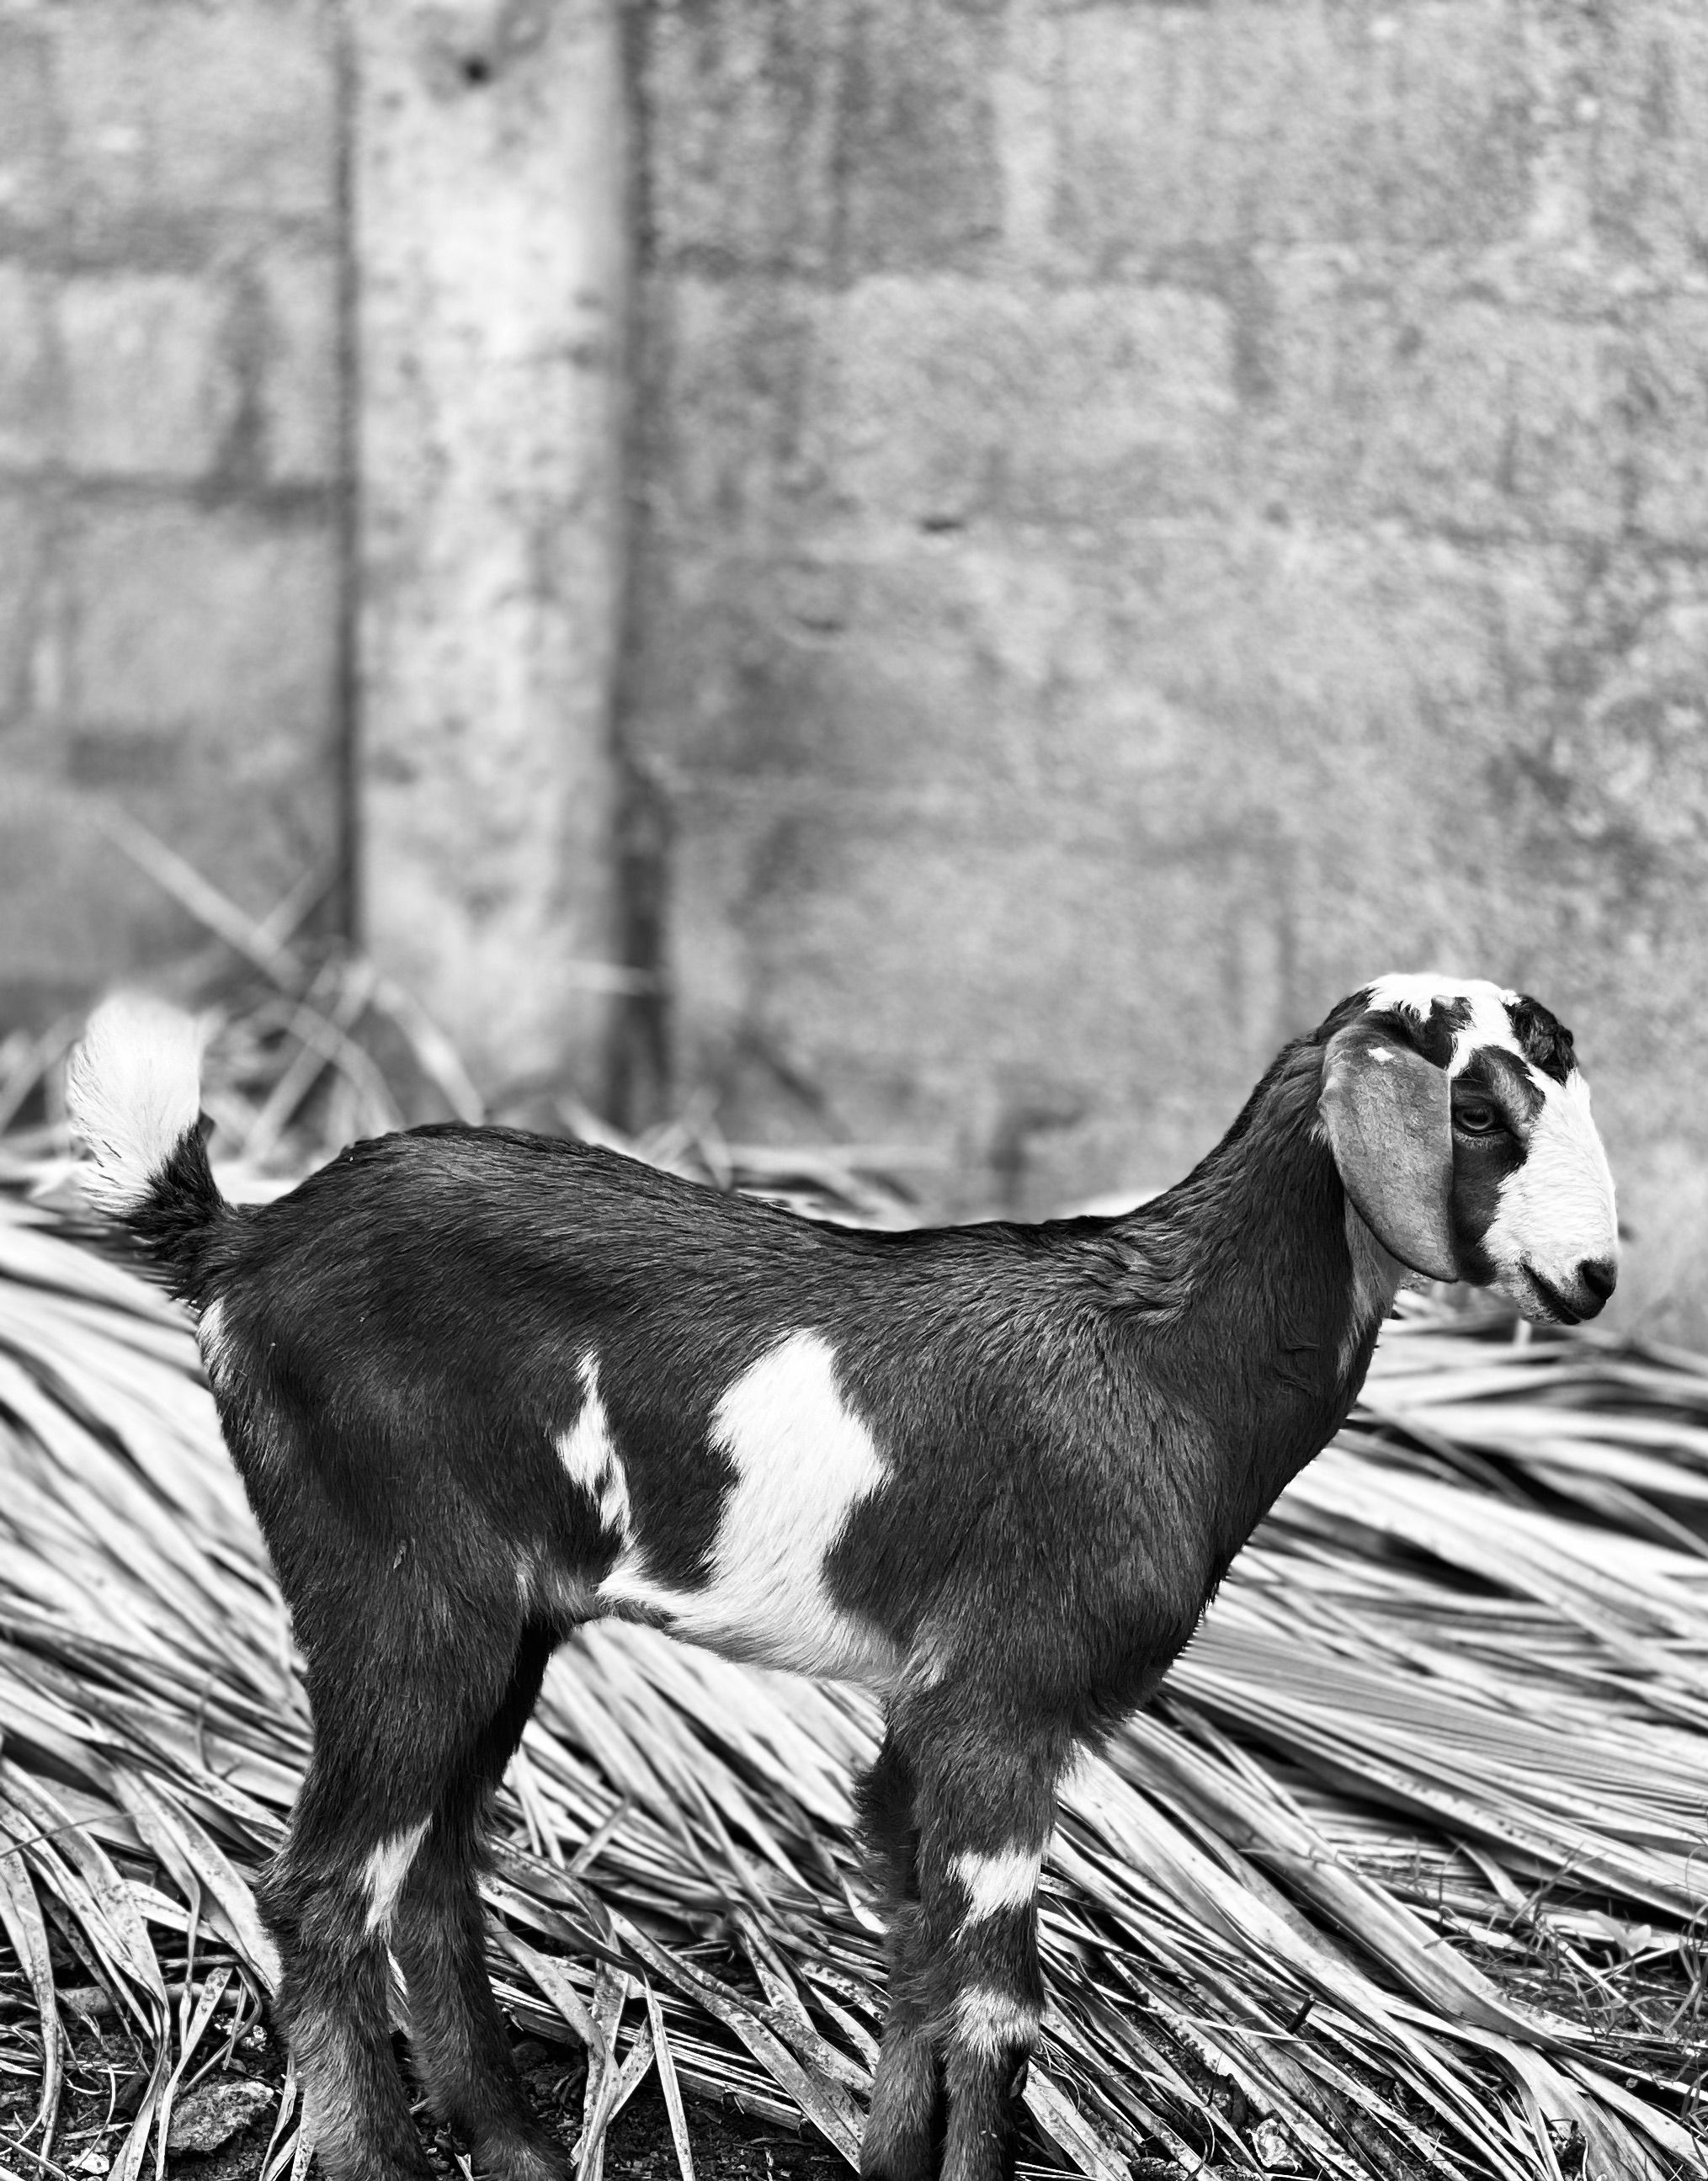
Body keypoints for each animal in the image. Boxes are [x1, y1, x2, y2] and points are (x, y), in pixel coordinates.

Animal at [66, 973, 1618, 2181]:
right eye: (1479, 1115)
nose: (1594, 1276)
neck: (1161, 1355)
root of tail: (244, 1243)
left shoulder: (920, 1722)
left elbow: (917, 1955)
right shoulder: (999, 1706)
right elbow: (999, 2004)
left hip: (504, 1617)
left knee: (436, 1865)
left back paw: (511, 2143)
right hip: (397, 1584)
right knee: (325, 1888)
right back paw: (382, 2152)